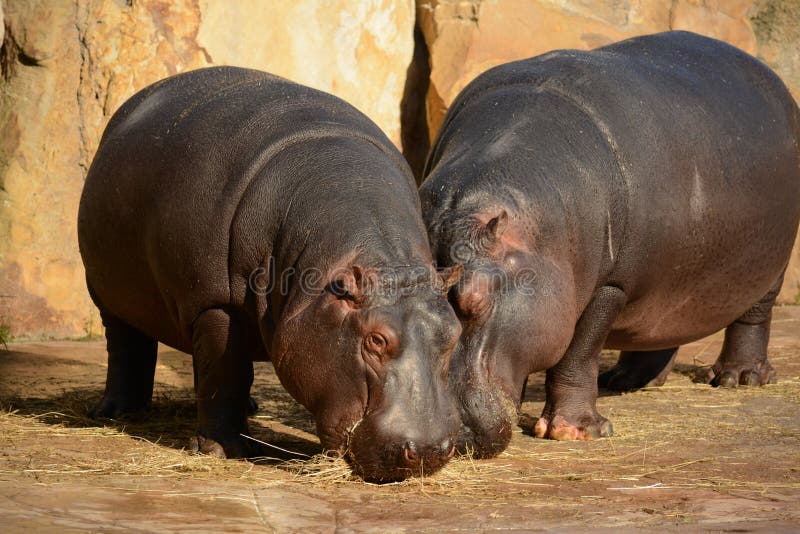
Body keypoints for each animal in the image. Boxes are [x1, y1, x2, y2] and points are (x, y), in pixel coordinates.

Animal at [78, 66, 463, 481]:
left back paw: (247, 409)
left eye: (455, 335)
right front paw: (223, 451)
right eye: (375, 340)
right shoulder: (216, 304)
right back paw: (117, 412)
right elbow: (224, 373)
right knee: (127, 346)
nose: (428, 451)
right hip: (108, 294)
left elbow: (221, 368)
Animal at [420, 31, 800, 458]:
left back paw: (738, 377)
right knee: (660, 323)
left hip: (771, 264)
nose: (449, 437)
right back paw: (627, 380)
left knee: (754, 316)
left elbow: (578, 353)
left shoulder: (611, 286)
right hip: (671, 271)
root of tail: (772, 79)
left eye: (478, 299)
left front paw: (576, 431)